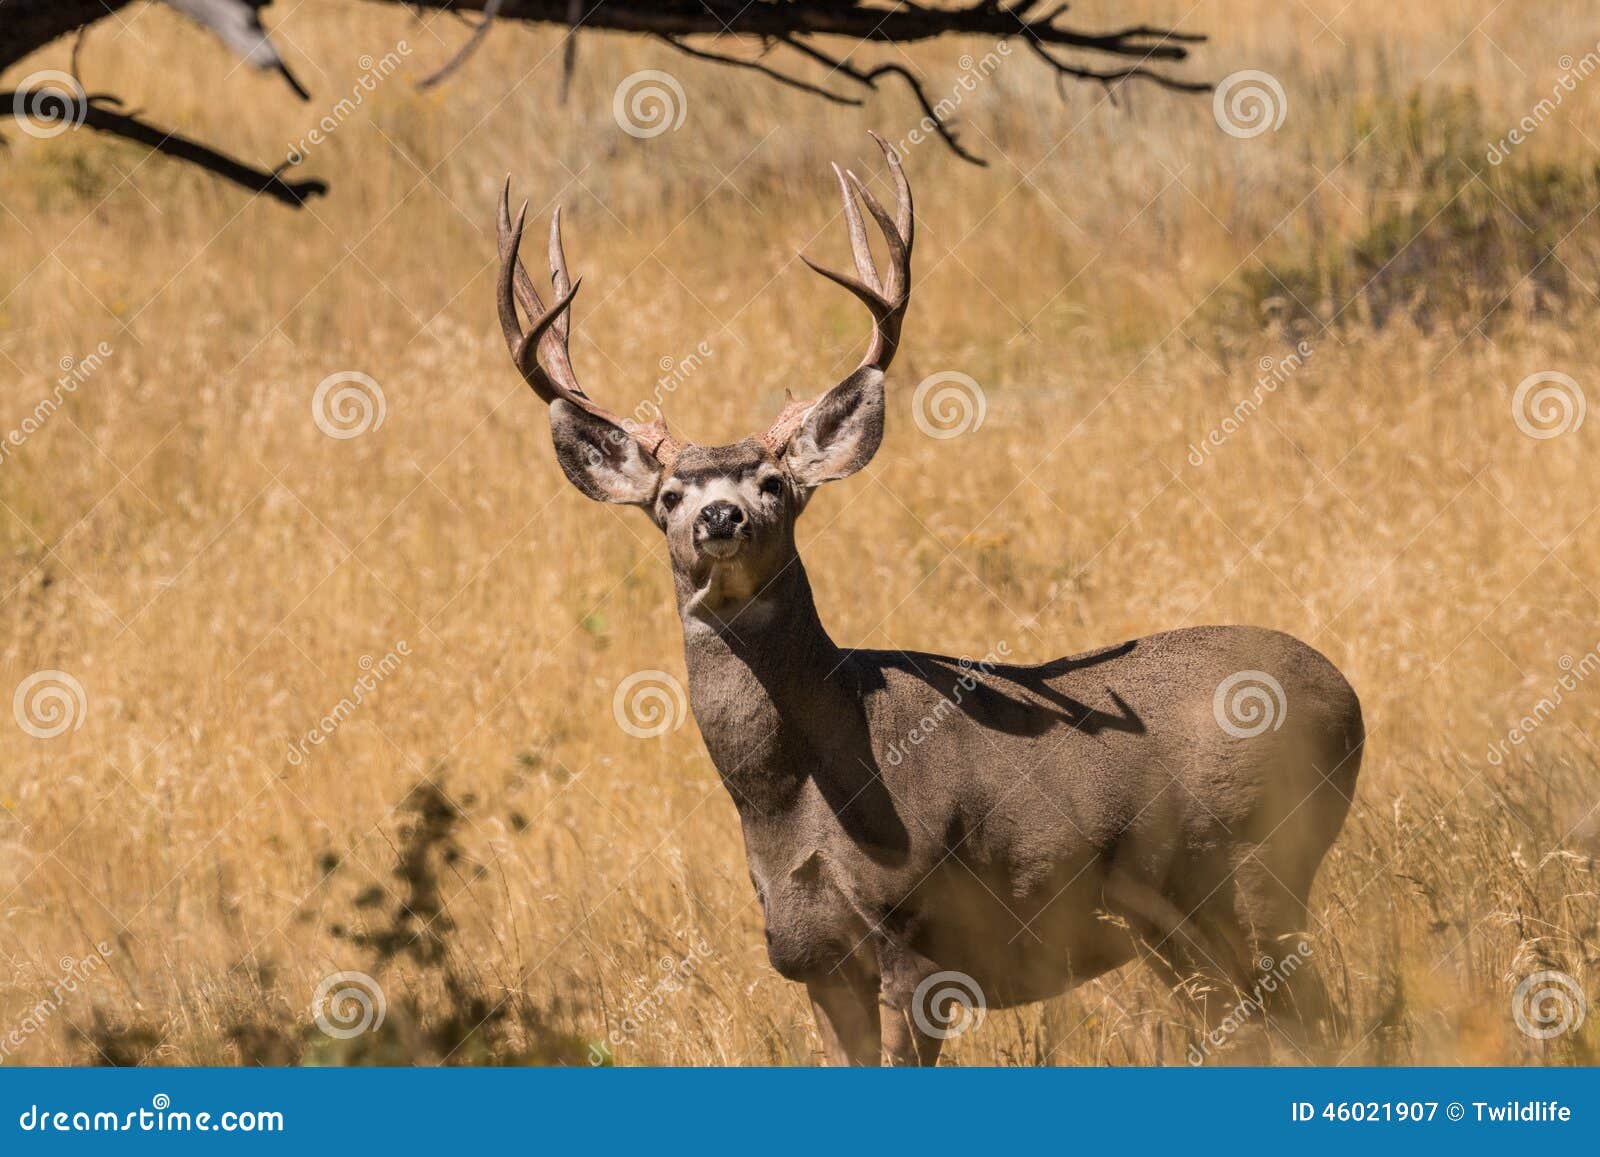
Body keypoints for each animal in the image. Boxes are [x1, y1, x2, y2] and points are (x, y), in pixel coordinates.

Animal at [494, 135, 1364, 1066]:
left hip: (1259, 868)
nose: (720, 516)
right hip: (1182, 926)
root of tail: (1347, 697)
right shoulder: (813, 961)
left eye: (774, 482)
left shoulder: (915, 931)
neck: (792, 799)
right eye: (666, 497)